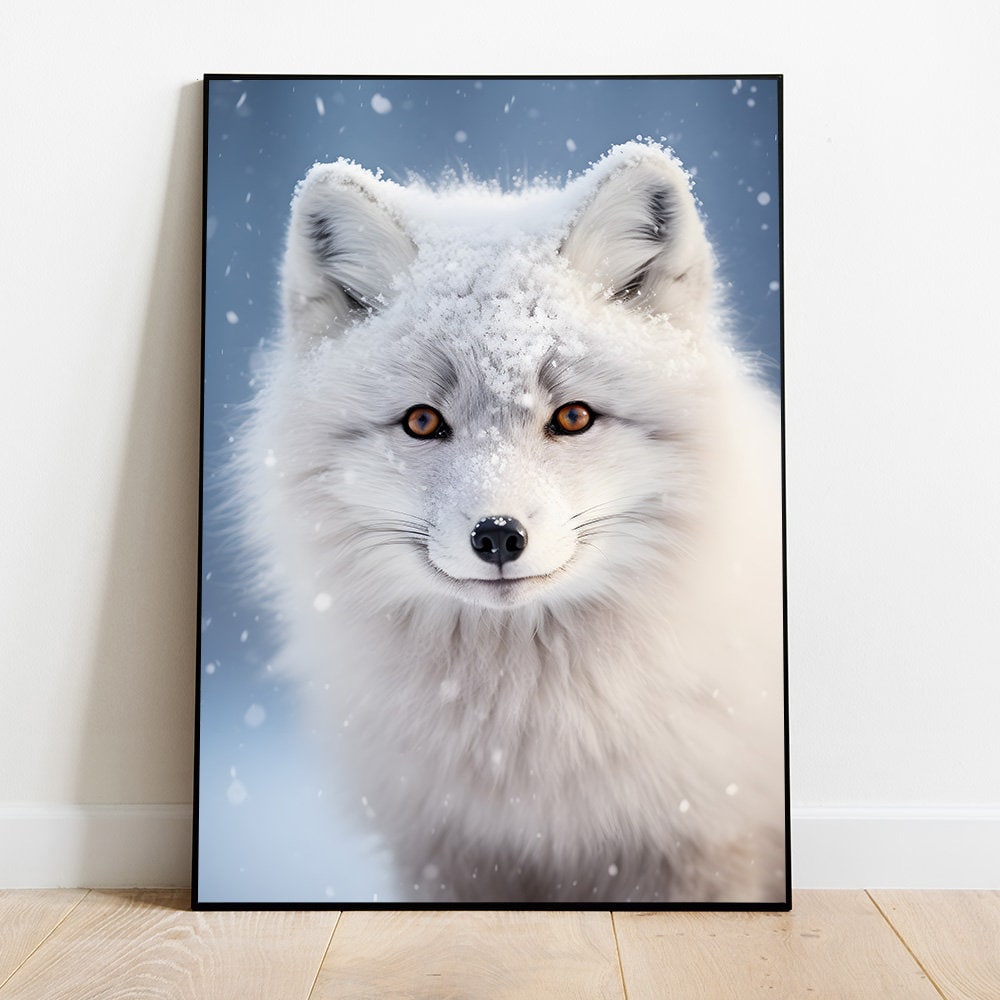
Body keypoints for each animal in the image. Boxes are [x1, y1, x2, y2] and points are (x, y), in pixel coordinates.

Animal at [241, 141, 787, 904]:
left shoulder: (701, 849)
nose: (498, 535)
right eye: (422, 422)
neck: (524, 741)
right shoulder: (449, 858)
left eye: (574, 417)